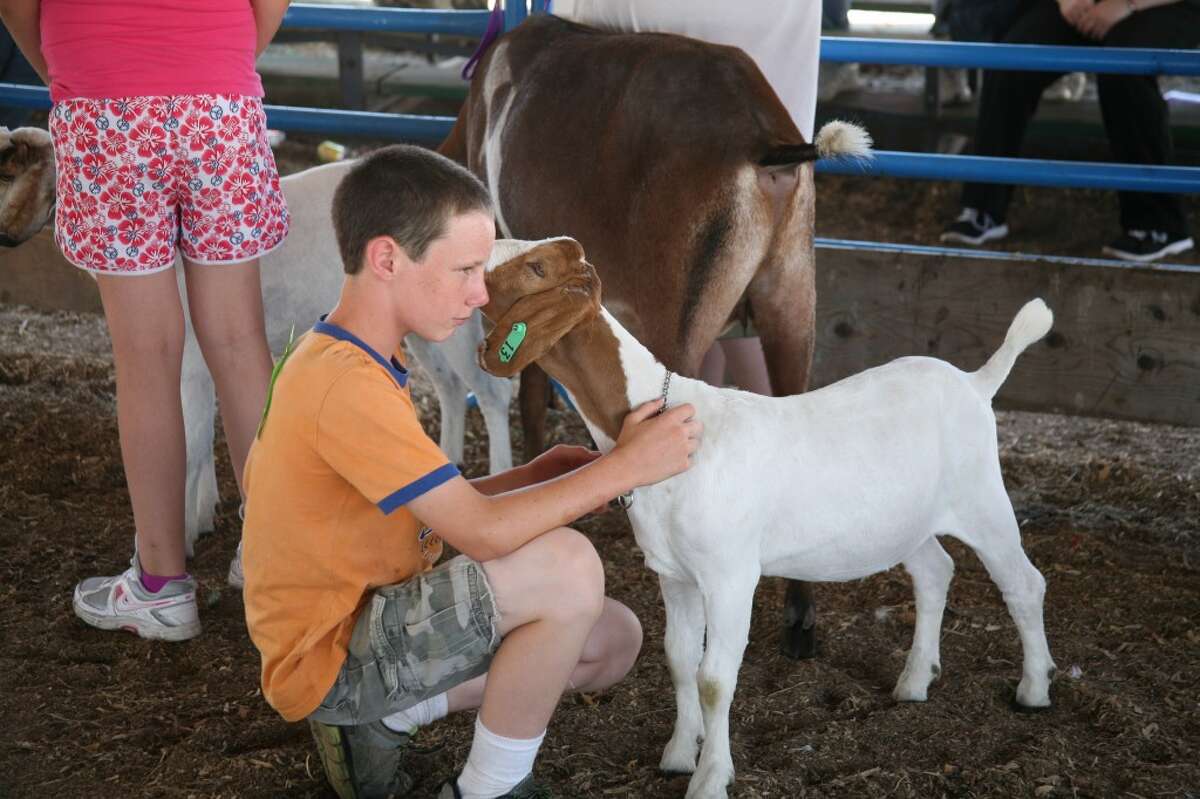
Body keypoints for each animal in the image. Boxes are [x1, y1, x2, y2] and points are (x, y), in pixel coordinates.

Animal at [0, 127, 514, 552]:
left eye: (10, 171)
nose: (6, 238)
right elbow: (204, 434)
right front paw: (204, 512)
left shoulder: (190, 354)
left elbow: (191, 444)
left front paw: (184, 533)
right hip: (425, 322)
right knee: (450, 386)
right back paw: (449, 458)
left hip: (458, 315)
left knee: (489, 394)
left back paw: (501, 470)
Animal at [478, 237, 1057, 799]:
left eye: (535, 267)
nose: (481, 263)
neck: (666, 422)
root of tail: (975, 382)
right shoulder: (673, 574)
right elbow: (679, 658)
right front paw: (678, 755)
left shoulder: (730, 575)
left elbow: (714, 678)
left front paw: (711, 778)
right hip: (905, 520)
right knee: (935, 571)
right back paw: (915, 680)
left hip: (982, 497)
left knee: (1024, 583)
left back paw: (1033, 689)